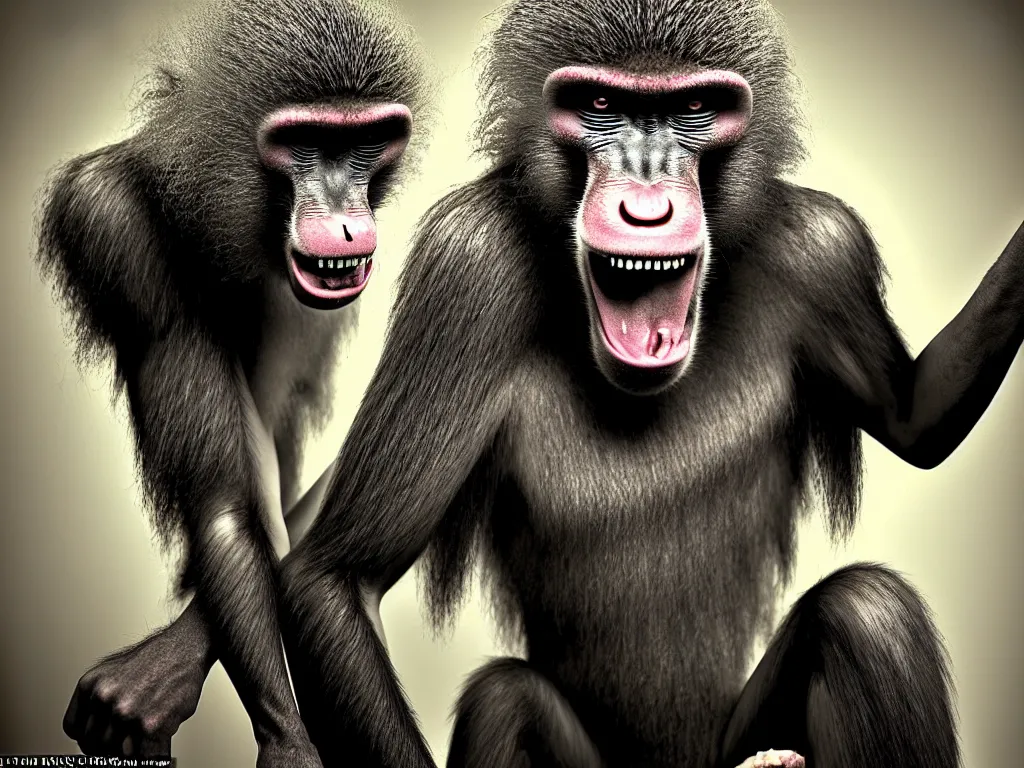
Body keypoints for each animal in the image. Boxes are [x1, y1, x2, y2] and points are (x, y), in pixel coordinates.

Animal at [34, 0, 426, 762]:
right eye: (305, 141)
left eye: (367, 141)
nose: (346, 217)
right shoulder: (111, 223)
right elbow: (224, 507)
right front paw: (286, 736)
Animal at [273, 0, 1024, 766]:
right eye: (601, 105)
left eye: (694, 107)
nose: (647, 204)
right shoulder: (464, 271)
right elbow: (339, 577)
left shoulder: (822, 250)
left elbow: (916, 415)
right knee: (505, 701)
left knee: (870, 616)